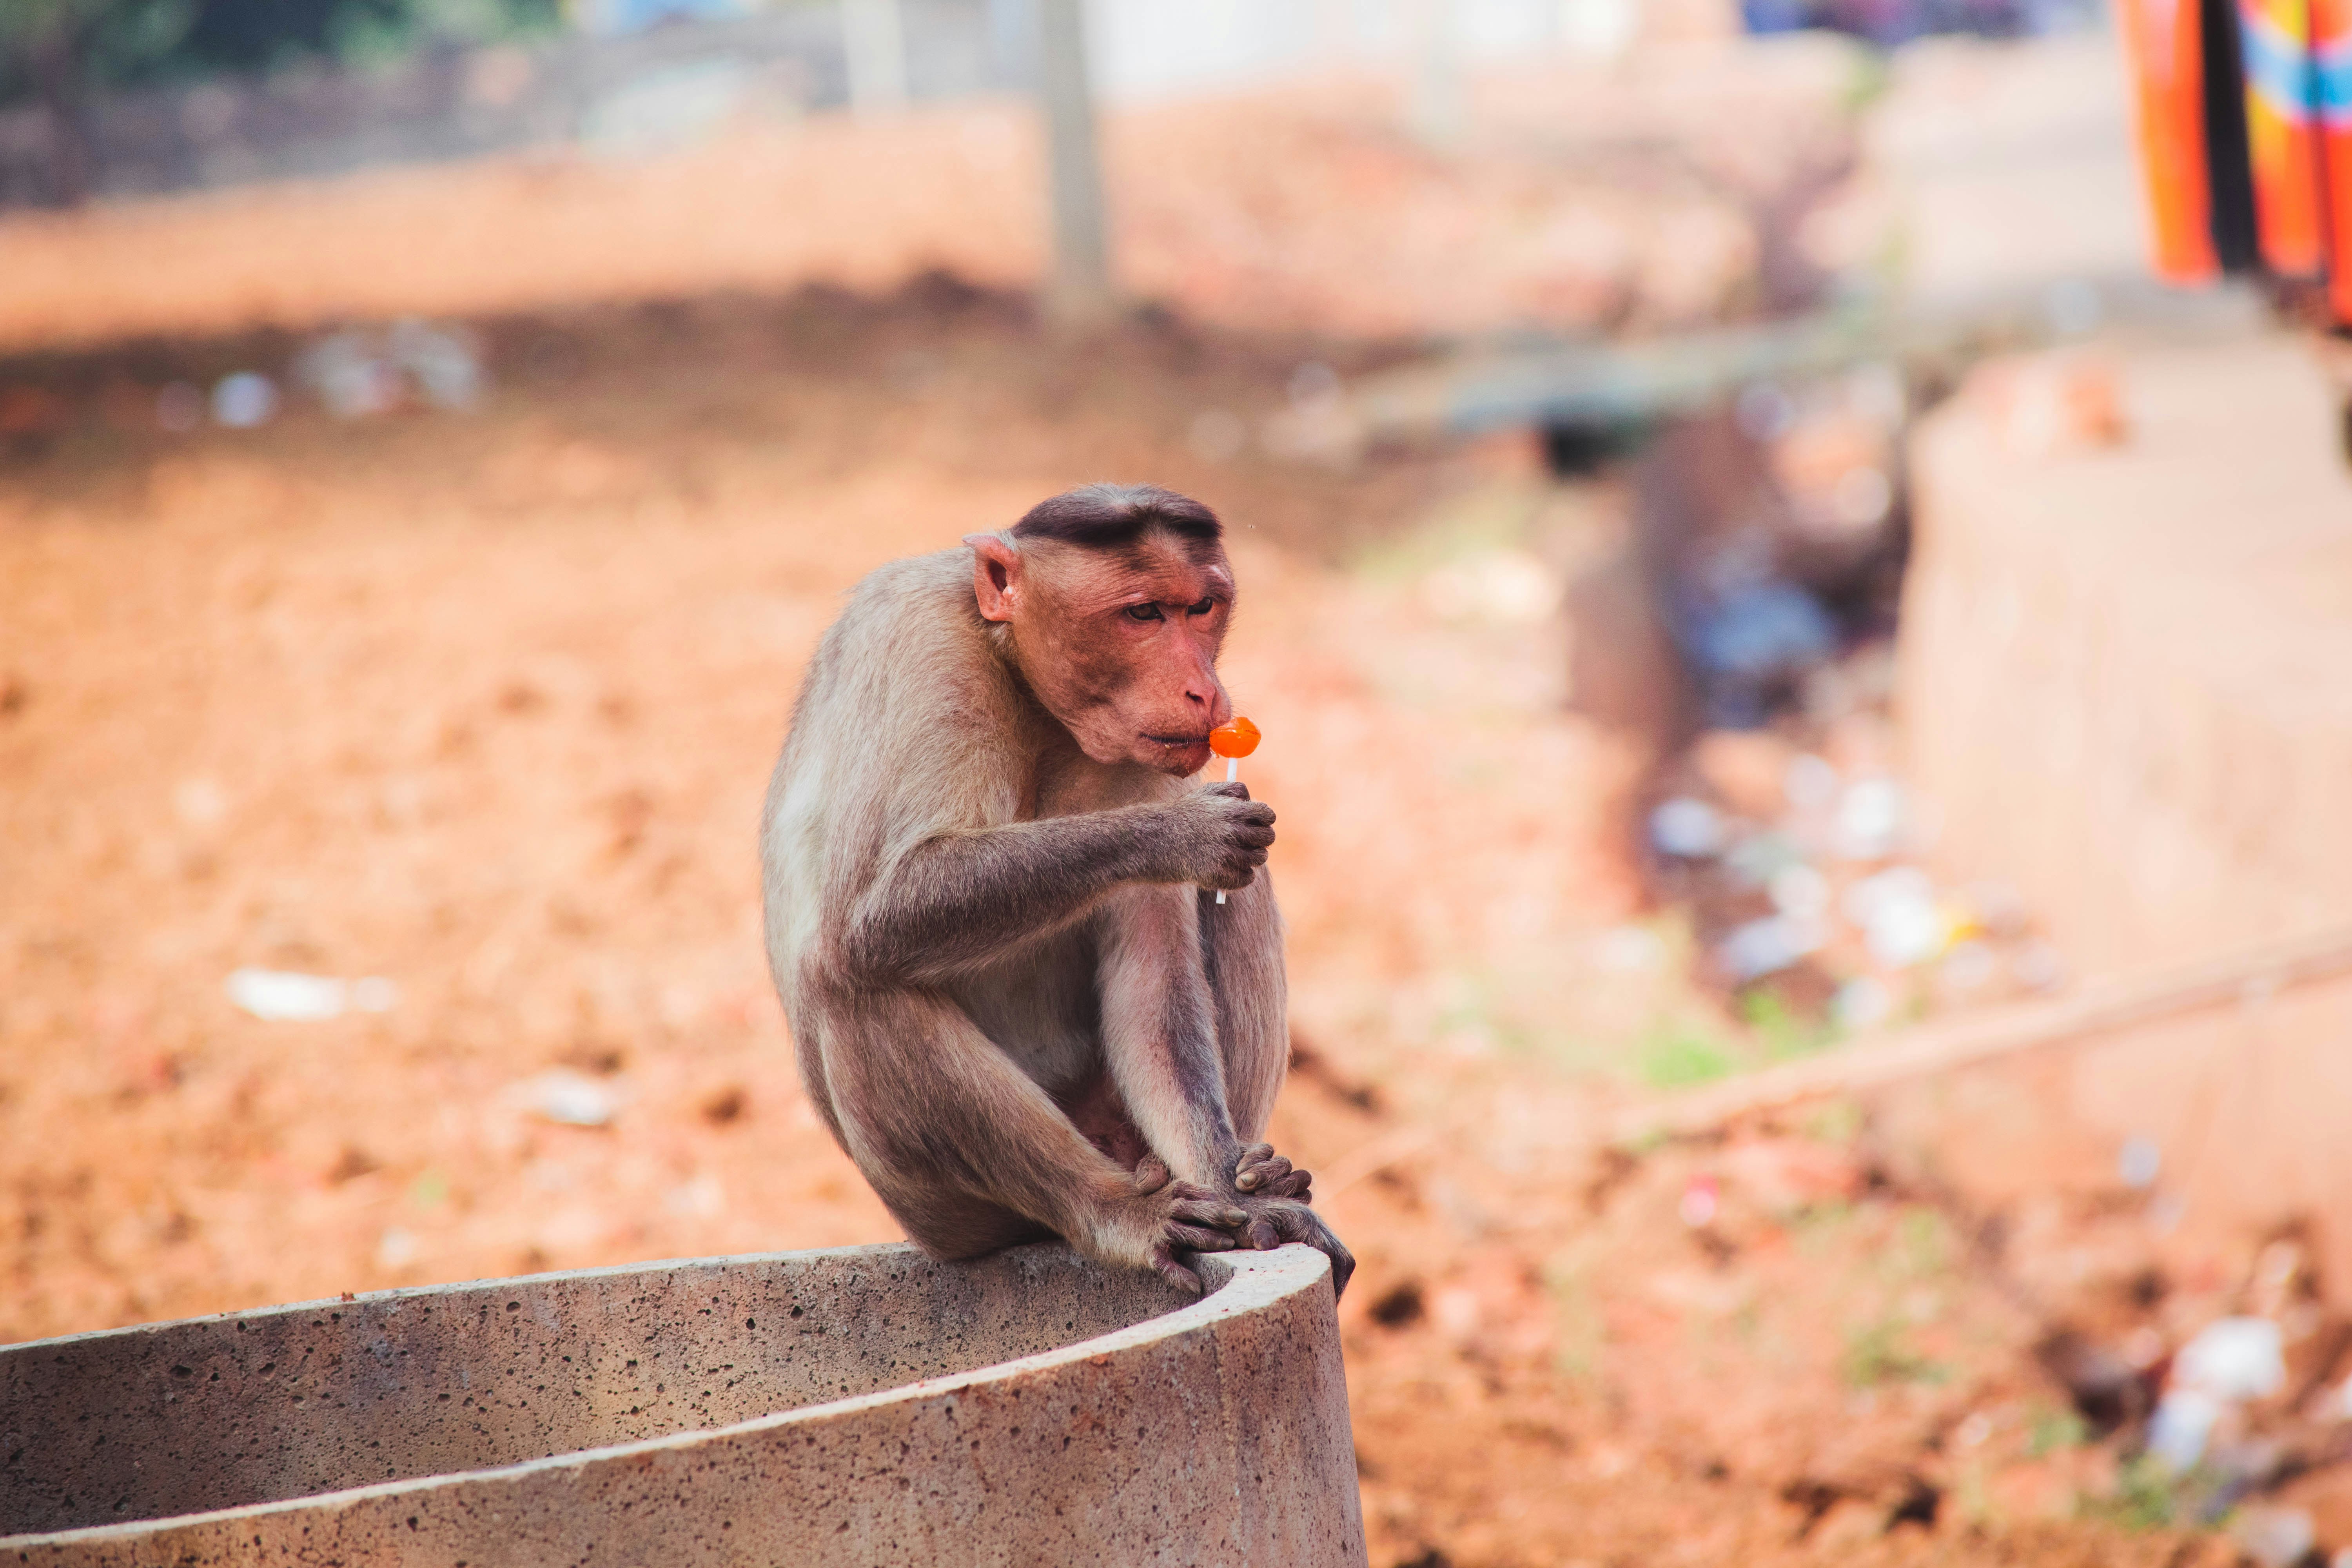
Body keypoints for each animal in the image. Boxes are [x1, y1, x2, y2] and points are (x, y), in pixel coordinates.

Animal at [760, 483, 1353, 1299]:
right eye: (1143, 614)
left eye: (1203, 607)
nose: (1204, 690)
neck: (1022, 679)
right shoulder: (919, 643)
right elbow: (880, 912)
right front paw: (1177, 836)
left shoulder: (1147, 758)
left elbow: (1154, 989)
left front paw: (1237, 1191)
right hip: (938, 1211)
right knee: (850, 975)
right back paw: (1116, 1212)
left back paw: (1247, 1177)